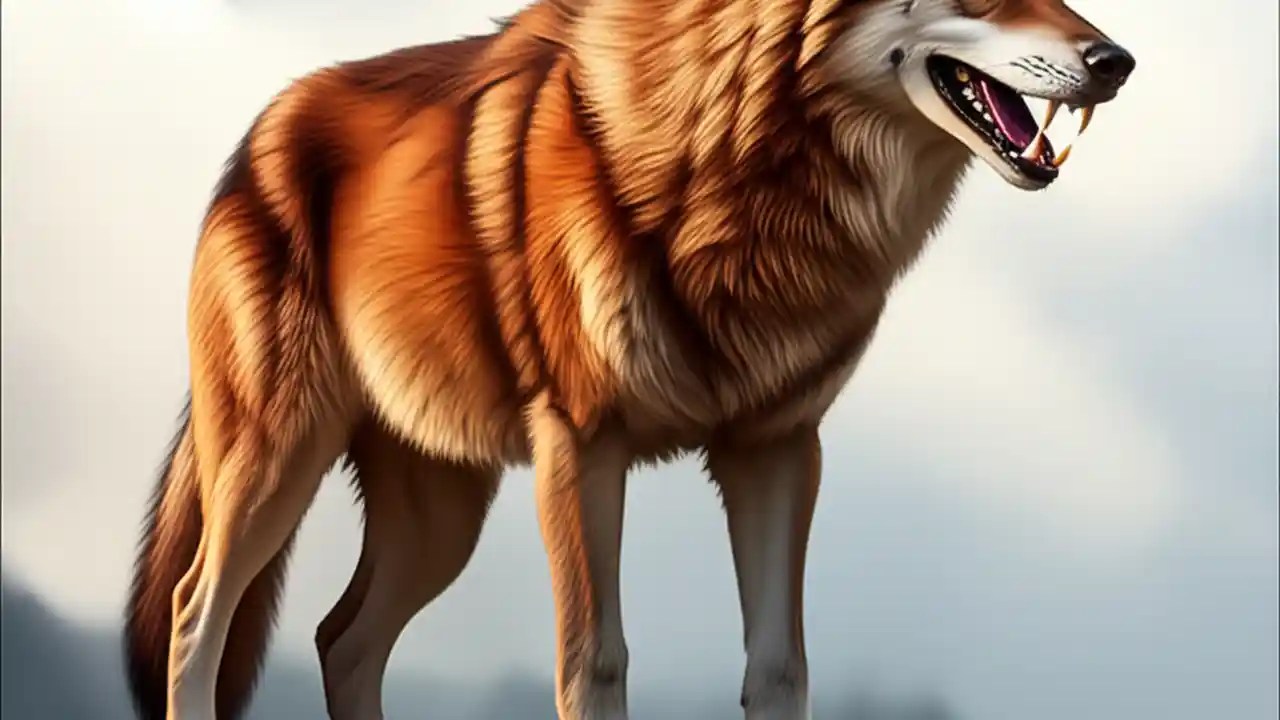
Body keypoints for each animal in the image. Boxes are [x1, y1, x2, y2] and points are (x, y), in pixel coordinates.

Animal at [123, 1, 1135, 718]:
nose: (1116, 63)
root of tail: (262, 128)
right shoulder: (581, 447)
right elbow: (594, 662)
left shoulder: (777, 449)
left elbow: (780, 666)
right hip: (275, 465)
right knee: (194, 616)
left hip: (439, 520)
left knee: (343, 639)